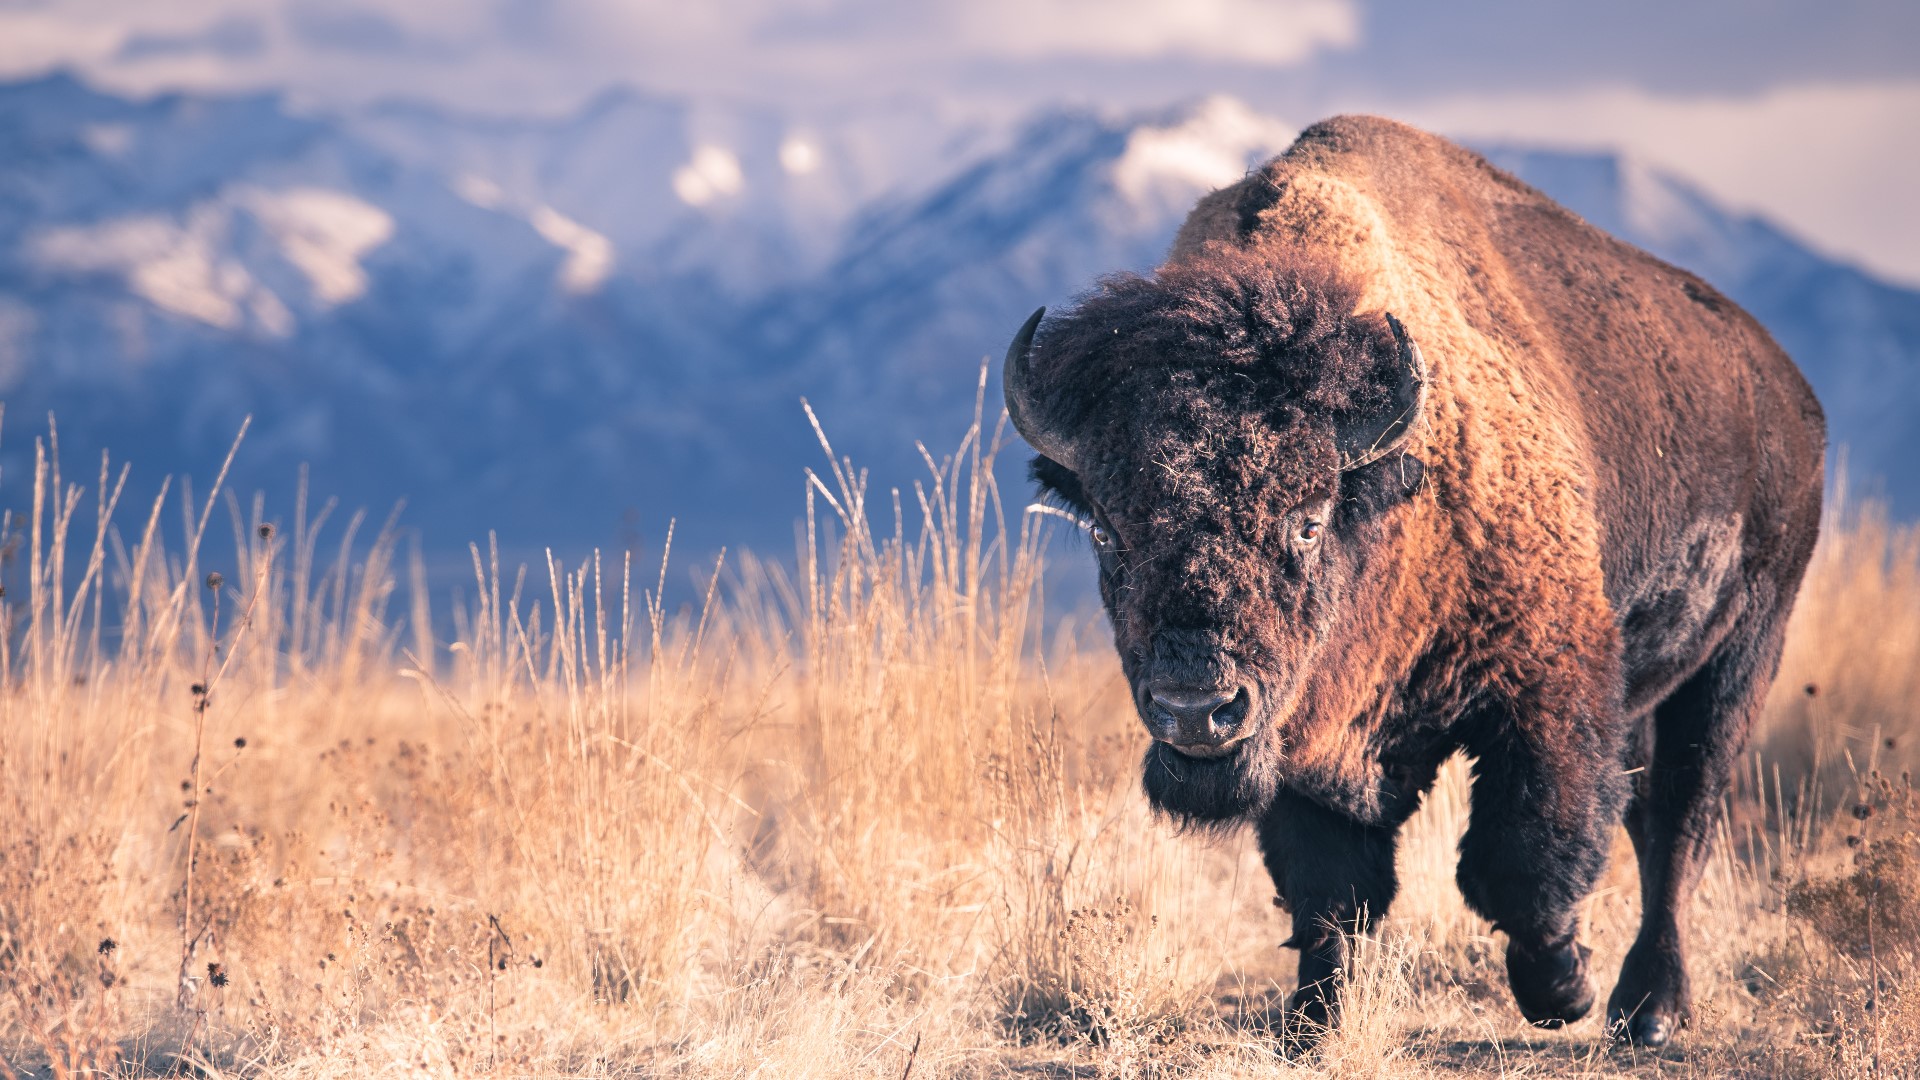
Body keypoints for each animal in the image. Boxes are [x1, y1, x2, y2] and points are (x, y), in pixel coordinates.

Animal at [1003, 116, 1825, 1046]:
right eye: (1106, 529)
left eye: (1308, 518)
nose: (1195, 707)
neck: (1394, 486)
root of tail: (1787, 392)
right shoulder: (1309, 740)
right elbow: (1330, 891)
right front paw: (1312, 1020)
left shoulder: (1549, 684)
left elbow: (1522, 856)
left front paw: (1561, 989)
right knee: (1656, 815)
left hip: (1745, 647)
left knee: (1681, 818)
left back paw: (1648, 1011)